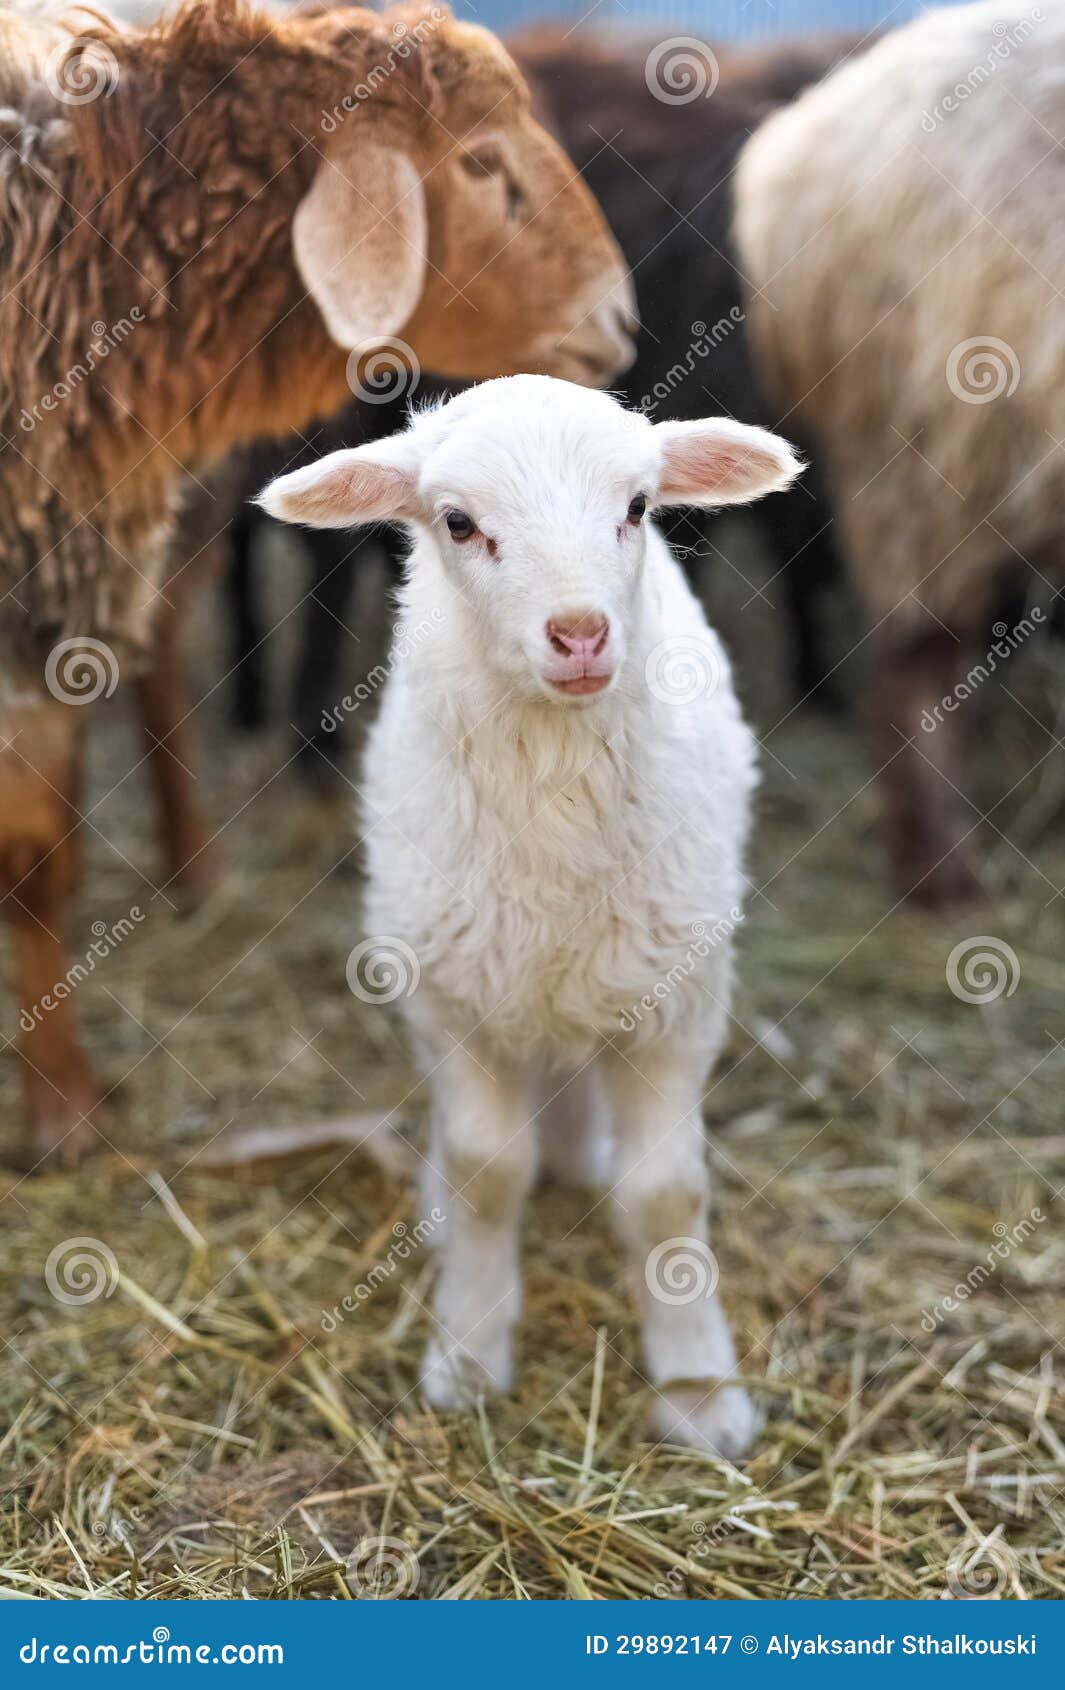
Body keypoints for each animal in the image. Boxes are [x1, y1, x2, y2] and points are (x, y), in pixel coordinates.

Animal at [0, 0, 634, 1157]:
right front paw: (62, 1112)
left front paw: (63, 1106)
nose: (615, 321)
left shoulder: (45, 587)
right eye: (481, 161)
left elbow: (34, 863)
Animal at [258, 374, 800, 1454]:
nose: (581, 633)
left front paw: (698, 1390)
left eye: (637, 506)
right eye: (458, 523)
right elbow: (486, 1175)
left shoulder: (676, 999)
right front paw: (467, 1356)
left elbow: (667, 1193)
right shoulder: (457, 999)